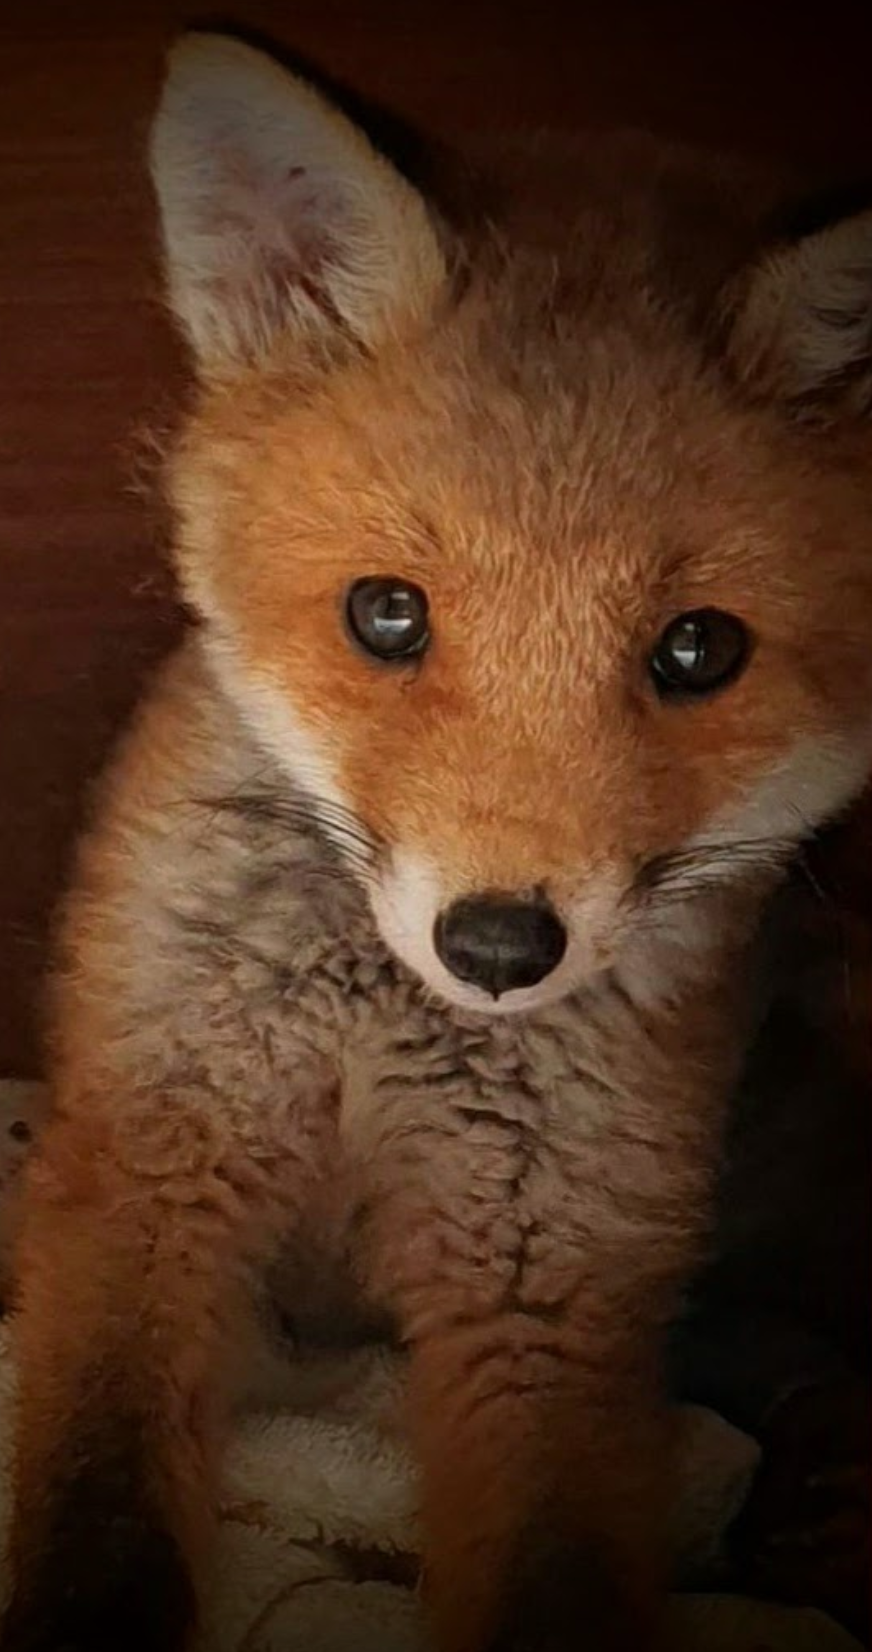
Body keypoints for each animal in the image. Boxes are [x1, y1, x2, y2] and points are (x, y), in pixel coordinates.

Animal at [4, 29, 872, 1652]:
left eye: (697, 650)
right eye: (386, 614)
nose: (497, 944)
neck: (375, 1039)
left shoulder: (551, 1286)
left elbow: (548, 1580)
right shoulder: (147, 1171)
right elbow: (95, 1527)